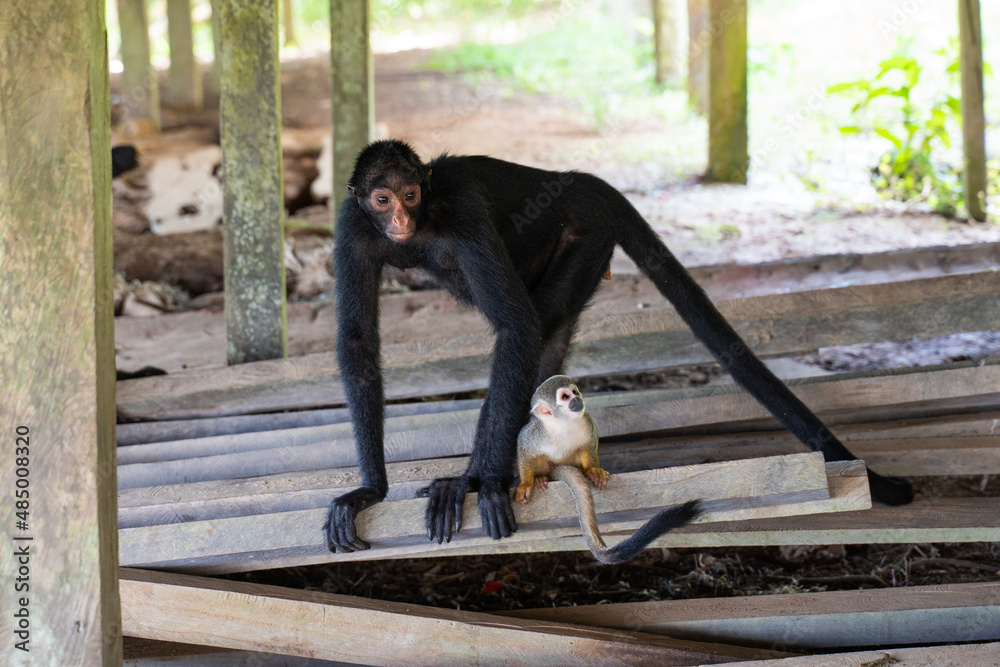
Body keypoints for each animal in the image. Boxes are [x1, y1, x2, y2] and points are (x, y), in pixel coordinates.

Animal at [515, 375, 701, 564]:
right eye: (565, 397)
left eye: (574, 391)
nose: (577, 399)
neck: (562, 423)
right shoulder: (536, 433)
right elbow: (524, 447)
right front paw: (526, 483)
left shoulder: (586, 421)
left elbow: (589, 443)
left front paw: (592, 470)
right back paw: (539, 477)